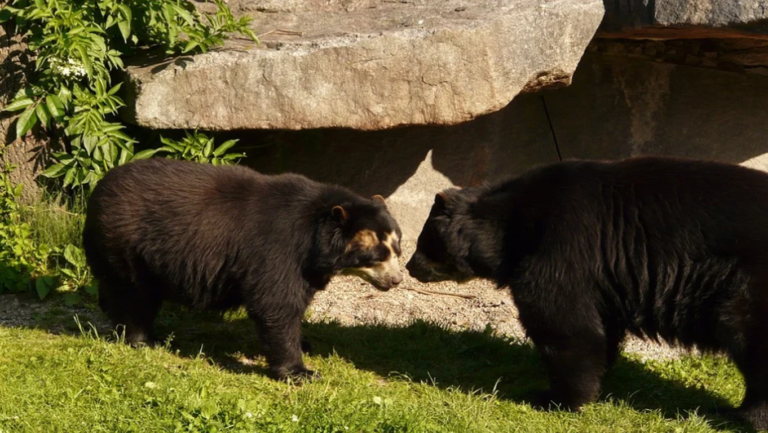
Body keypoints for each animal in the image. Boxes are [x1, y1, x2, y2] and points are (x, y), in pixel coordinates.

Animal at [83, 158, 403, 380]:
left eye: (397, 248)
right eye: (377, 255)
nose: (397, 280)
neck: (315, 237)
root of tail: (98, 188)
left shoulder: (308, 266)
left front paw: (305, 344)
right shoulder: (279, 248)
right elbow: (276, 302)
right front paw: (301, 371)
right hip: (127, 243)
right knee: (134, 295)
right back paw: (143, 339)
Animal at [405, 155, 768, 430]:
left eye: (424, 241)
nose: (409, 267)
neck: (514, 227)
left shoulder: (562, 246)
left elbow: (564, 322)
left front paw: (555, 398)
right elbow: (600, 327)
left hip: (747, 286)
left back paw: (742, 416)